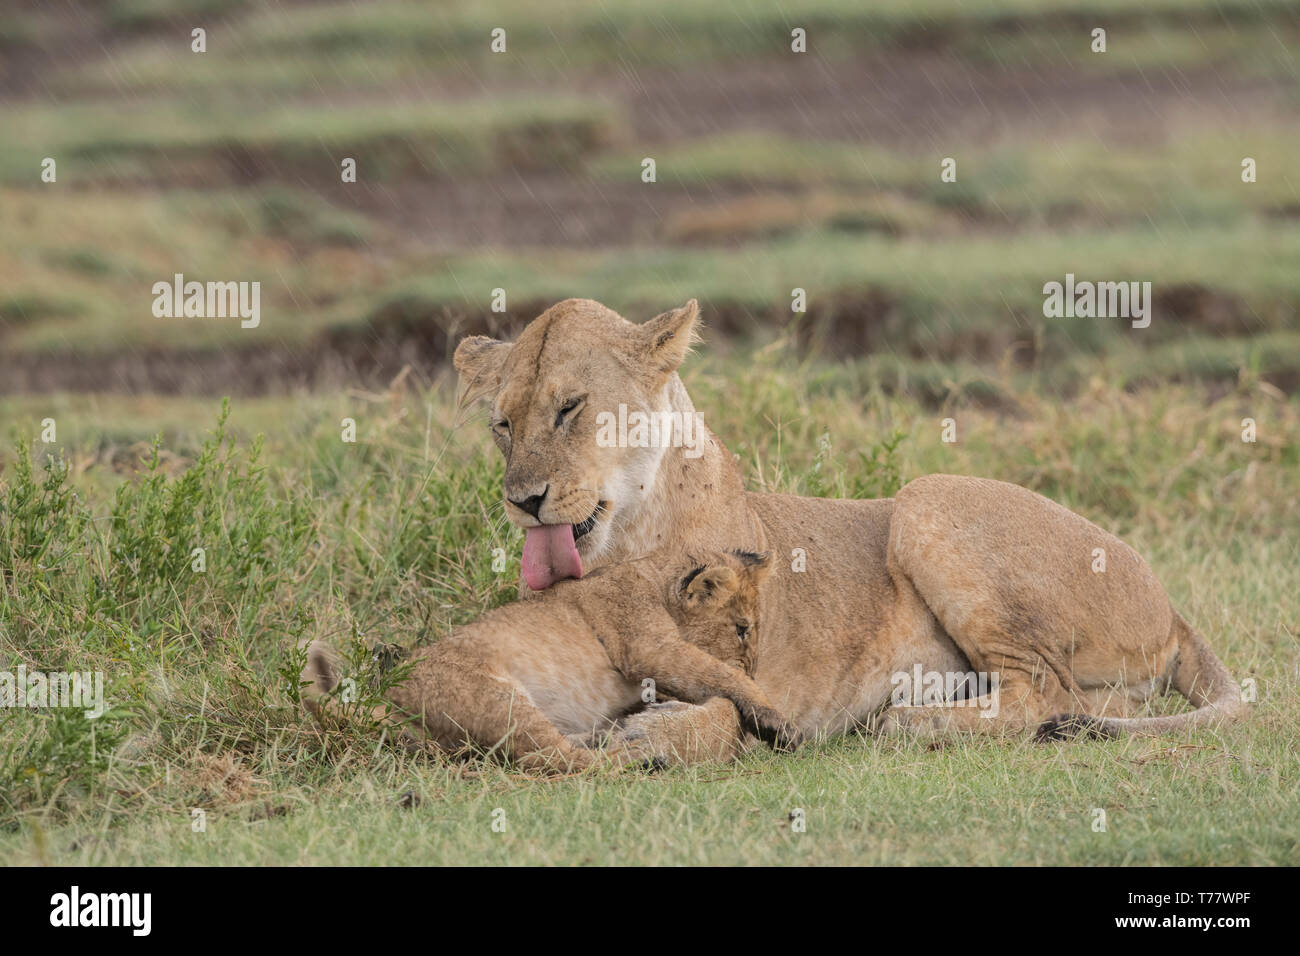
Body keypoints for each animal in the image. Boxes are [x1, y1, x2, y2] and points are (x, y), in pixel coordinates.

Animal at [301, 548, 797, 773]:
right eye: (742, 629)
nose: (753, 664)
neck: (651, 576)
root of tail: (390, 694)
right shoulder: (648, 647)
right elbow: (719, 673)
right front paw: (777, 720)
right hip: (498, 698)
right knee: (559, 759)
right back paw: (634, 754)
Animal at [453, 297, 1243, 755]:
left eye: (569, 408)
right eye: (503, 423)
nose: (523, 499)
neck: (632, 535)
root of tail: (1171, 608)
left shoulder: (758, 669)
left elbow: (728, 712)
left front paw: (650, 736)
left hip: (926, 497)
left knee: (1044, 694)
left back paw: (911, 721)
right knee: (1074, 698)